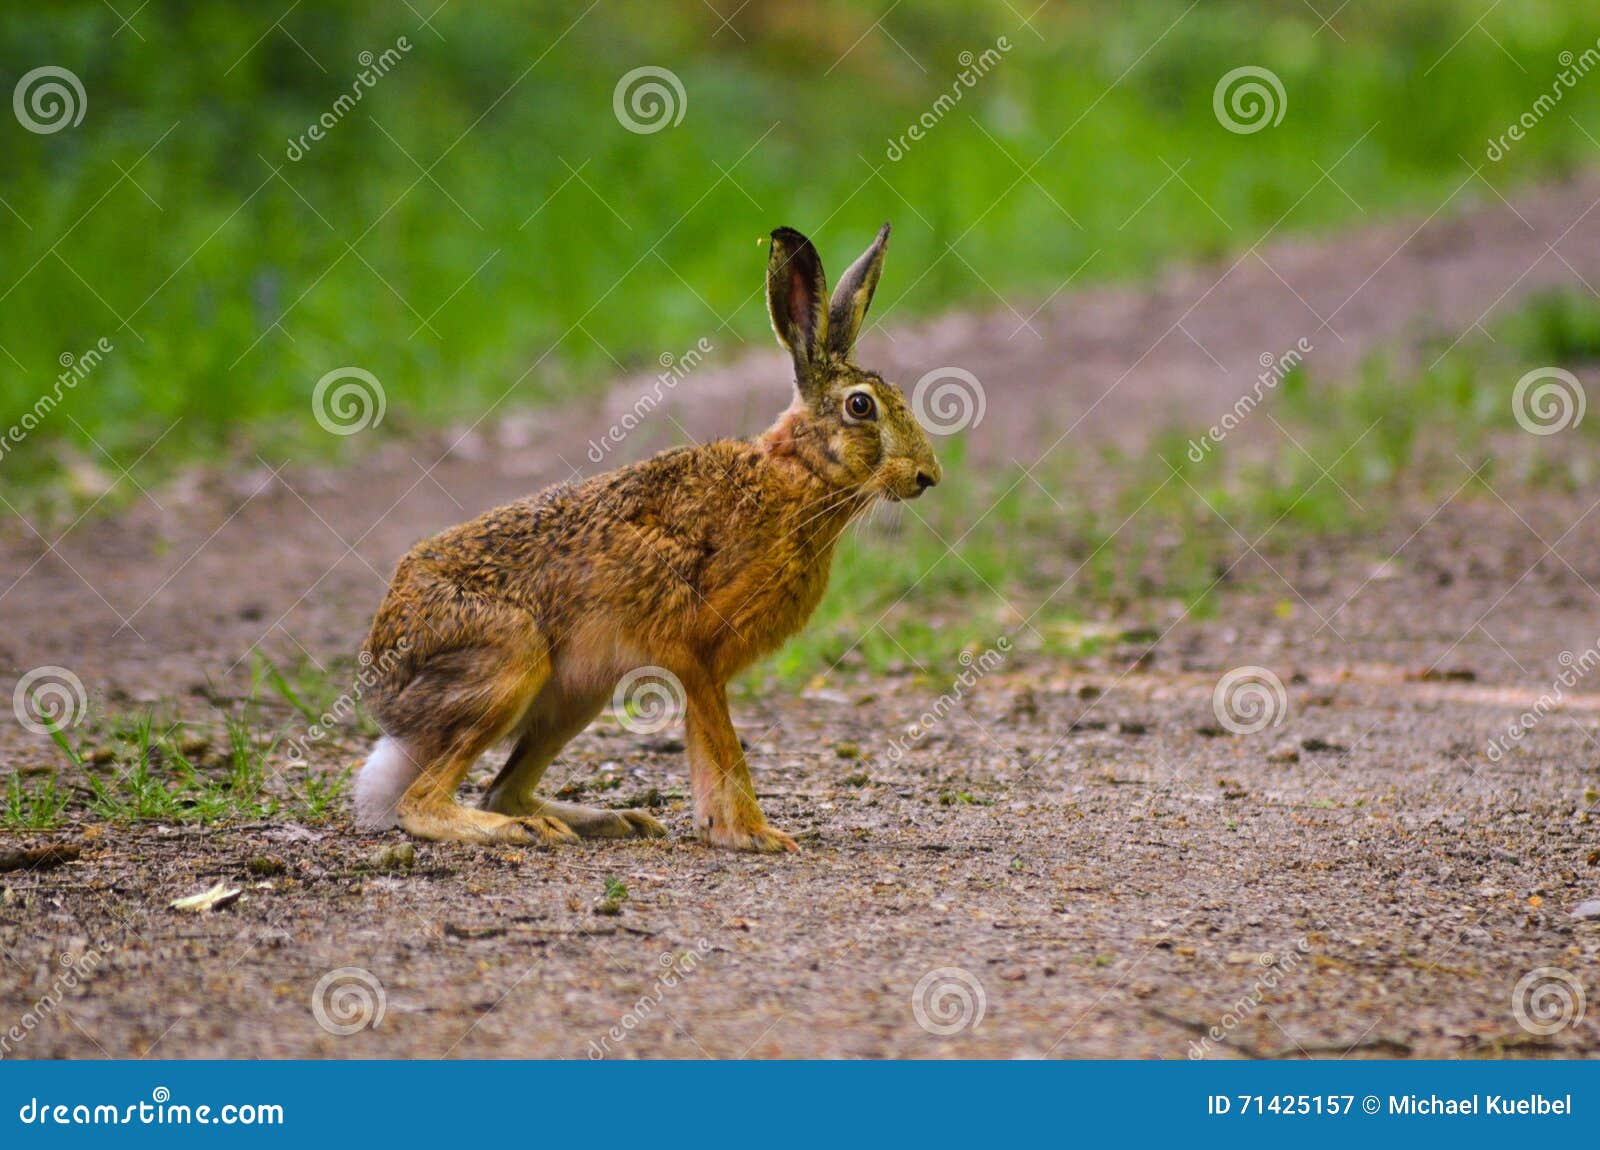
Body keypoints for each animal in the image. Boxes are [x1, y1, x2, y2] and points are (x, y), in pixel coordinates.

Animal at [354, 222, 941, 852]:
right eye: (861, 406)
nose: (927, 476)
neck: (798, 476)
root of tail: (380, 683)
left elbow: (712, 750)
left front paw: (726, 831)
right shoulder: (691, 651)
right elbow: (724, 748)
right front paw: (756, 835)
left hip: (578, 693)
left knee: (499, 788)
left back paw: (606, 820)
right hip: (509, 658)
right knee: (422, 803)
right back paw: (521, 830)